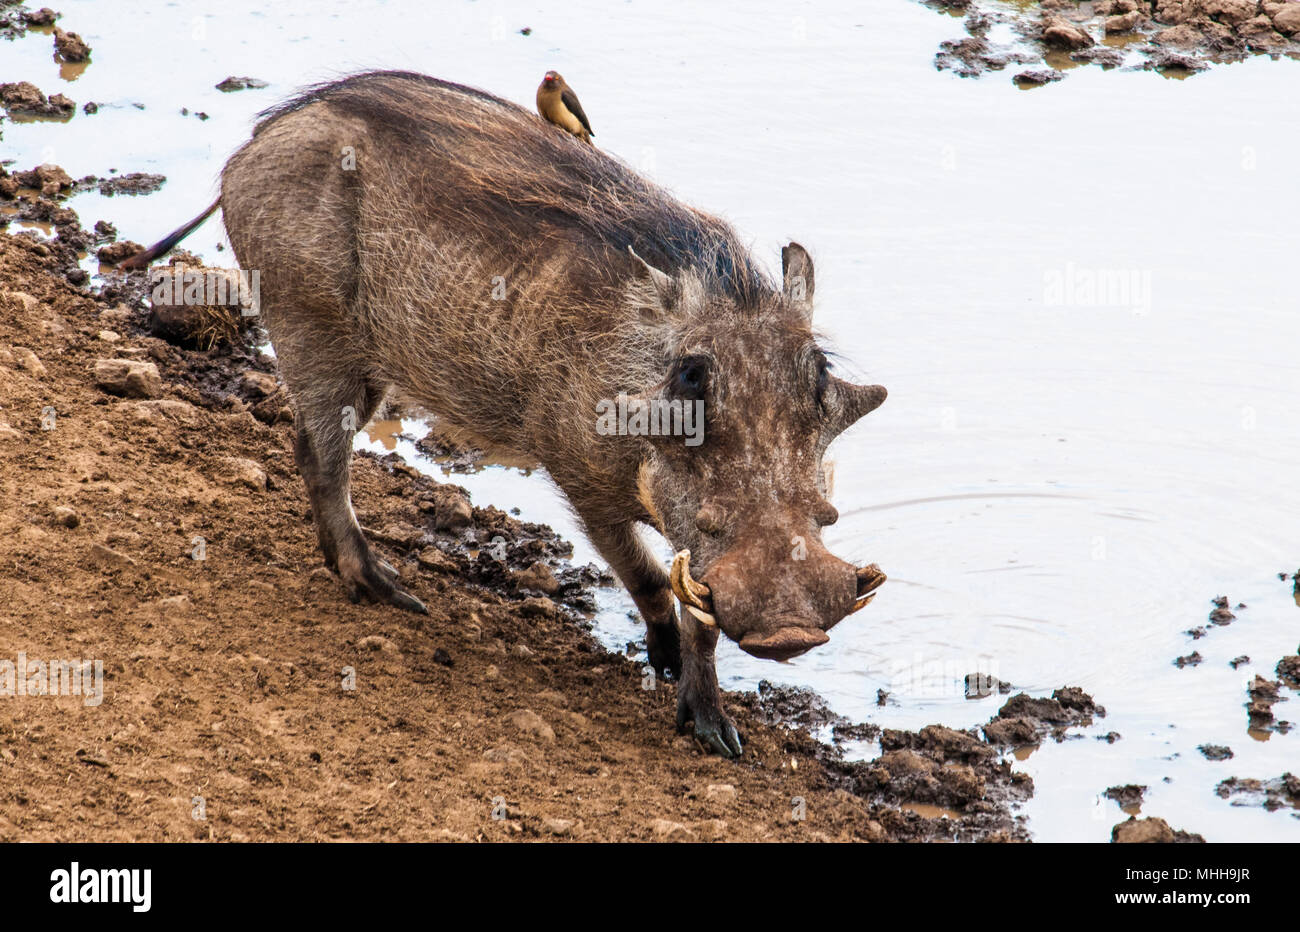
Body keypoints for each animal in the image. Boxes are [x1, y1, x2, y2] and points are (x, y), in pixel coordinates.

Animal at [125, 71, 888, 757]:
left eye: (820, 376)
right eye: (691, 378)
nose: (788, 631)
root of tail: (257, 140)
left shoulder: (695, 541)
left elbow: (699, 611)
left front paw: (710, 725)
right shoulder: (582, 477)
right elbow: (646, 577)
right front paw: (668, 658)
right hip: (311, 328)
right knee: (320, 456)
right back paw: (382, 588)